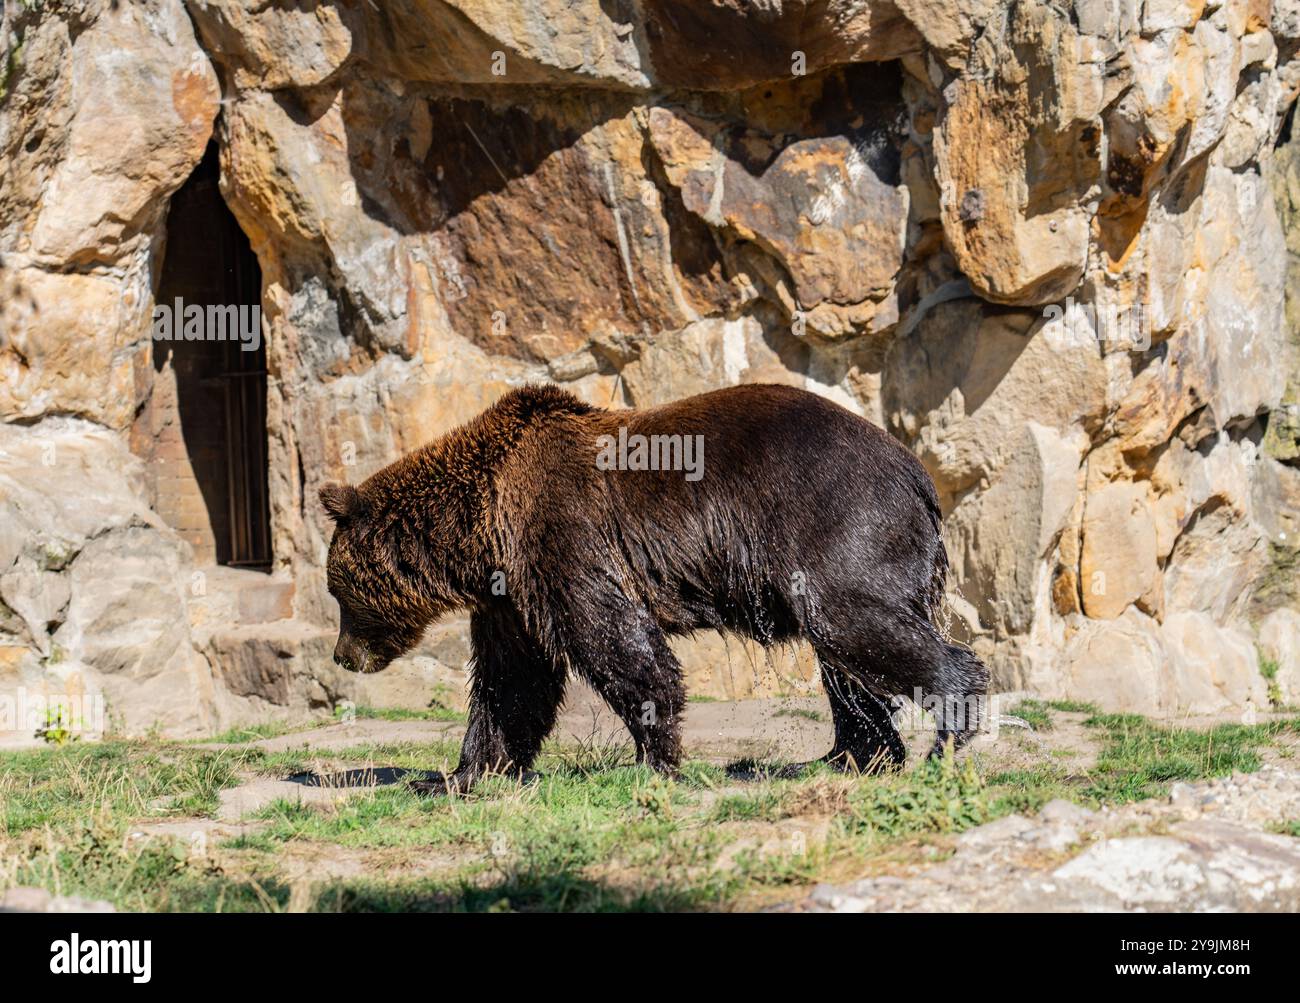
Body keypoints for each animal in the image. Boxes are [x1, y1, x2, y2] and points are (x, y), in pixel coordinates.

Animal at [319, 383, 988, 795]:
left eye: (335, 594)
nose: (342, 655)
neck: (480, 526)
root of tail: (917, 474)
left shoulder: (561, 537)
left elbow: (616, 643)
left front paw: (651, 759)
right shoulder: (509, 594)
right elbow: (511, 683)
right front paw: (458, 775)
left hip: (835, 524)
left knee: (855, 624)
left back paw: (945, 740)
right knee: (846, 665)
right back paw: (848, 756)